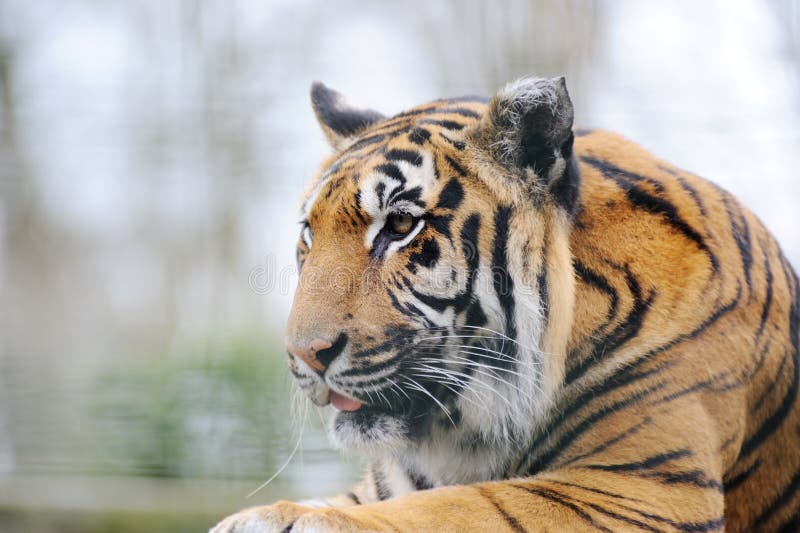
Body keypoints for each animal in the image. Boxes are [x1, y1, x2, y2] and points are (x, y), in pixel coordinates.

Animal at [212, 76, 800, 532]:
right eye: (309, 235)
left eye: (400, 225)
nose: (303, 355)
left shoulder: (643, 488)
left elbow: (460, 506)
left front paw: (278, 517)